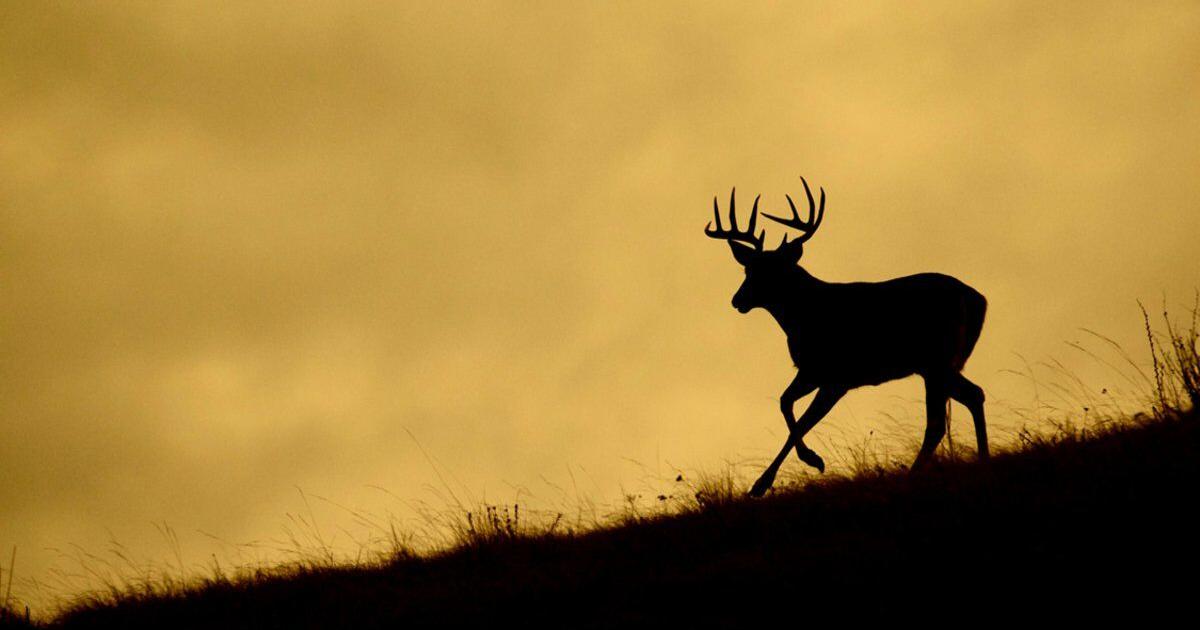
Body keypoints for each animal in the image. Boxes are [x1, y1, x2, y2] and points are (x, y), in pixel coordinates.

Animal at [704, 177, 989, 497]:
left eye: (771, 271)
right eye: (747, 269)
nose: (737, 300)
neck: (804, 317)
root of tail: (977, 299)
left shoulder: (836, 377)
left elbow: (800, 418)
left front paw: (797, 467)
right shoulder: (813, 372)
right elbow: (785, 402)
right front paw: (788, 469)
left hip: (936, 359)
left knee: (941, 418)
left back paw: (916, 473)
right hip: (940, 363)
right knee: (971, 396)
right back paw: (982, 458)